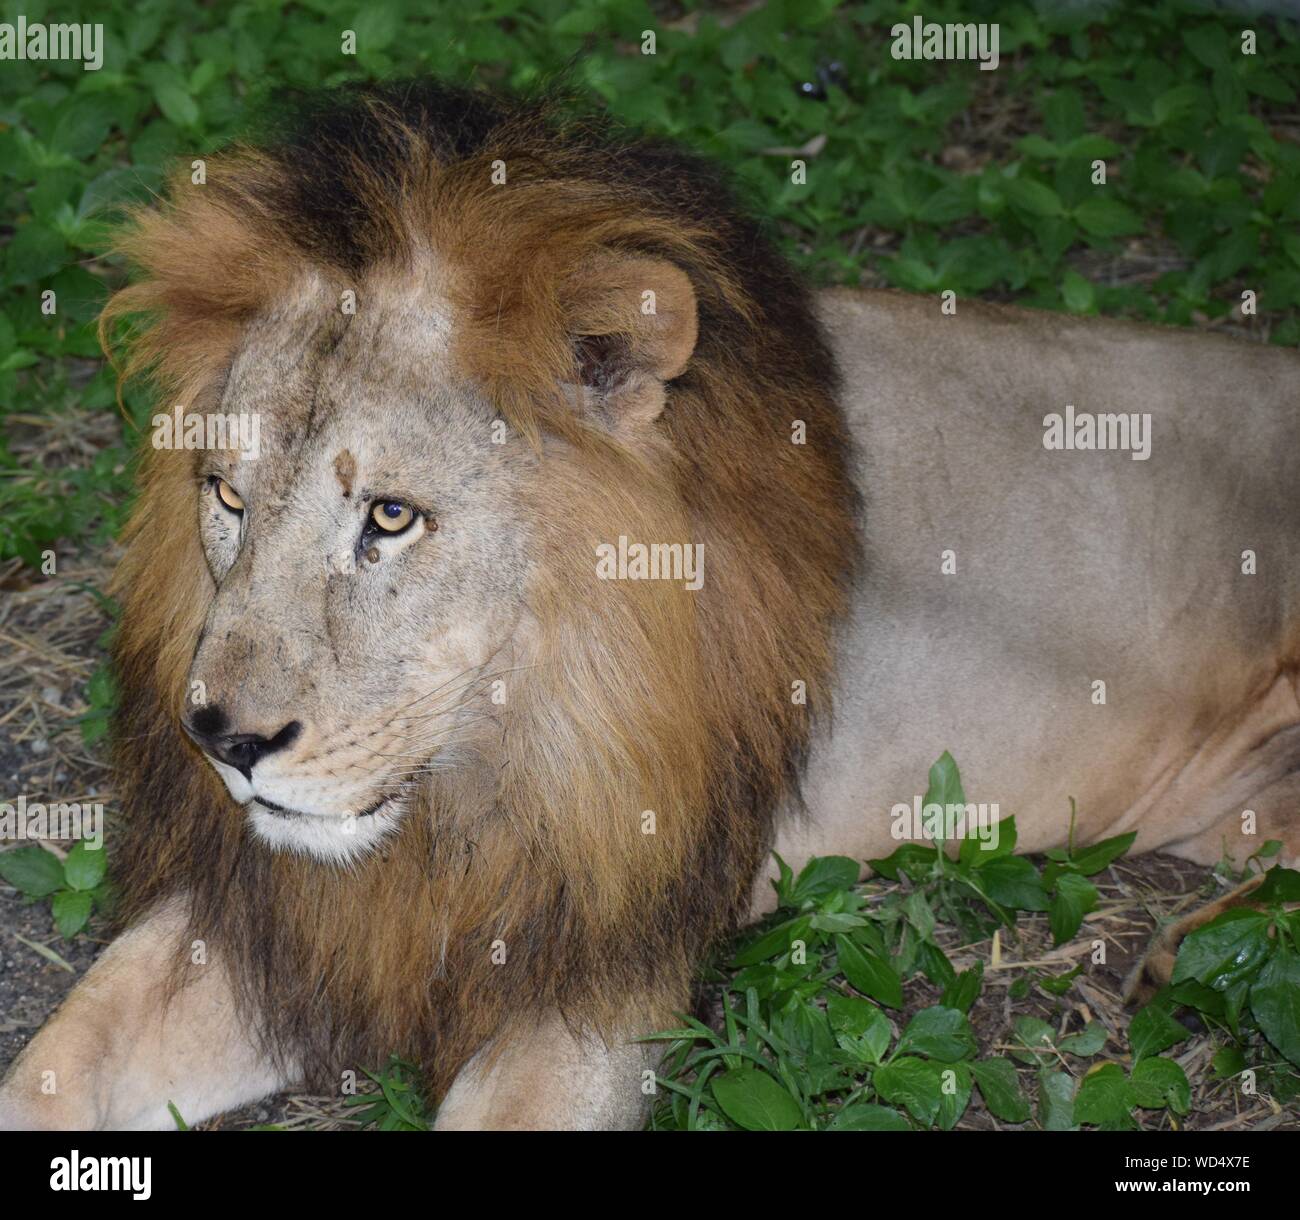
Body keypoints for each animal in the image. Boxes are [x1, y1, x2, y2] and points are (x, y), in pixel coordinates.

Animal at [2, 80, 1298, 1130]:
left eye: (391, 516)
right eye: (226, 493)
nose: (223, 740)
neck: (480, 772)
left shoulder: (604, 968)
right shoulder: (278, 913)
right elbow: (58, 1062)